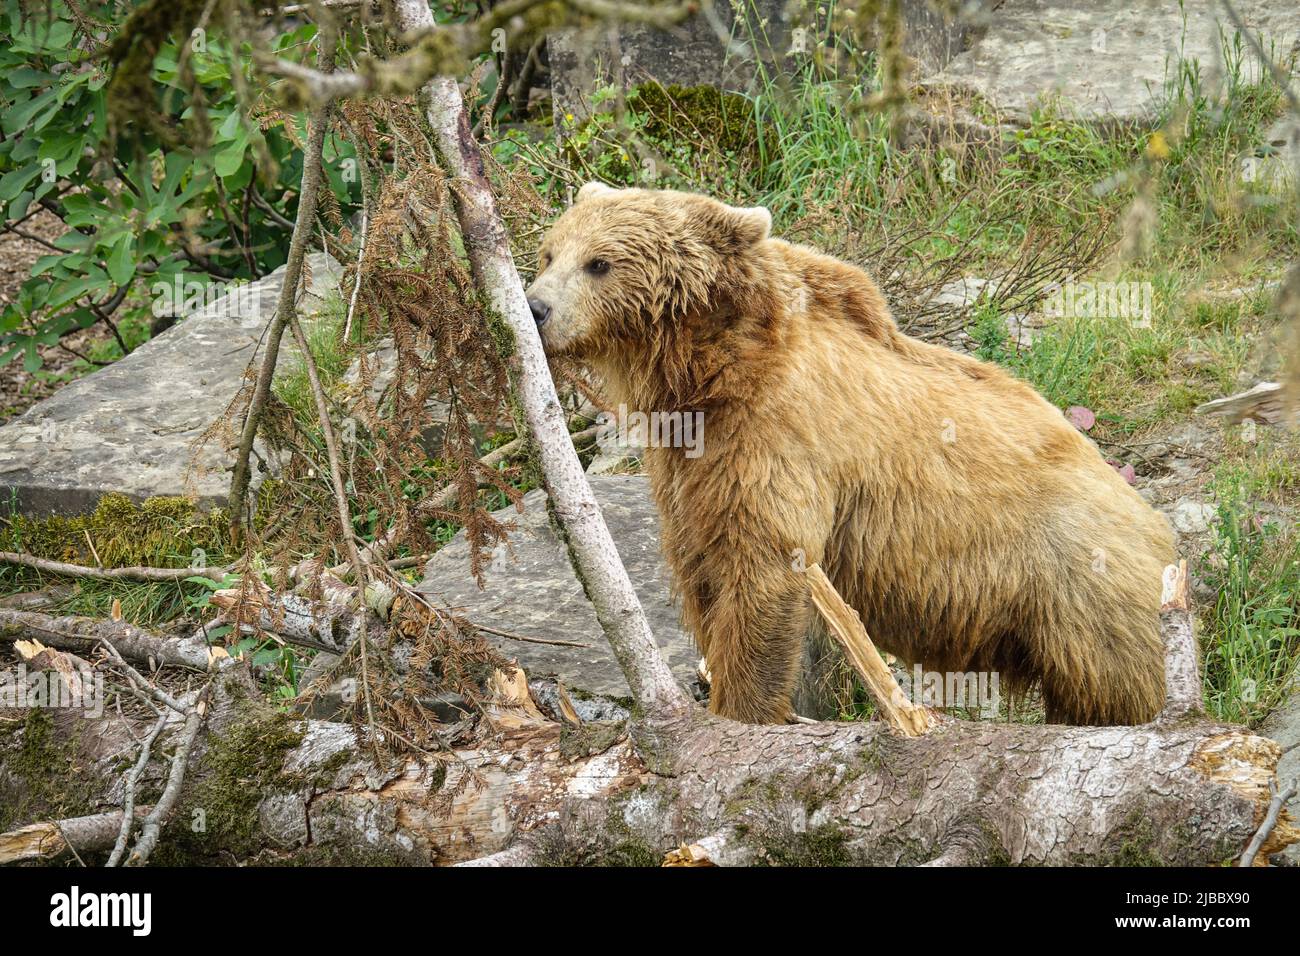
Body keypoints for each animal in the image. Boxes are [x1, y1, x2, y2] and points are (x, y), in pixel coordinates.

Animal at [525, 182, 1175, 726]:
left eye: (600, 263)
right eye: (549, 253)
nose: (535, 307)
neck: (706, 371)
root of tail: (1151, 517)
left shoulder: (776, 439)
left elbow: (765, 569)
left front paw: (740, 708)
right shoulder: (690, 464)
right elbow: (701, 567)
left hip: (1078, 582)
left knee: (1116, 686)